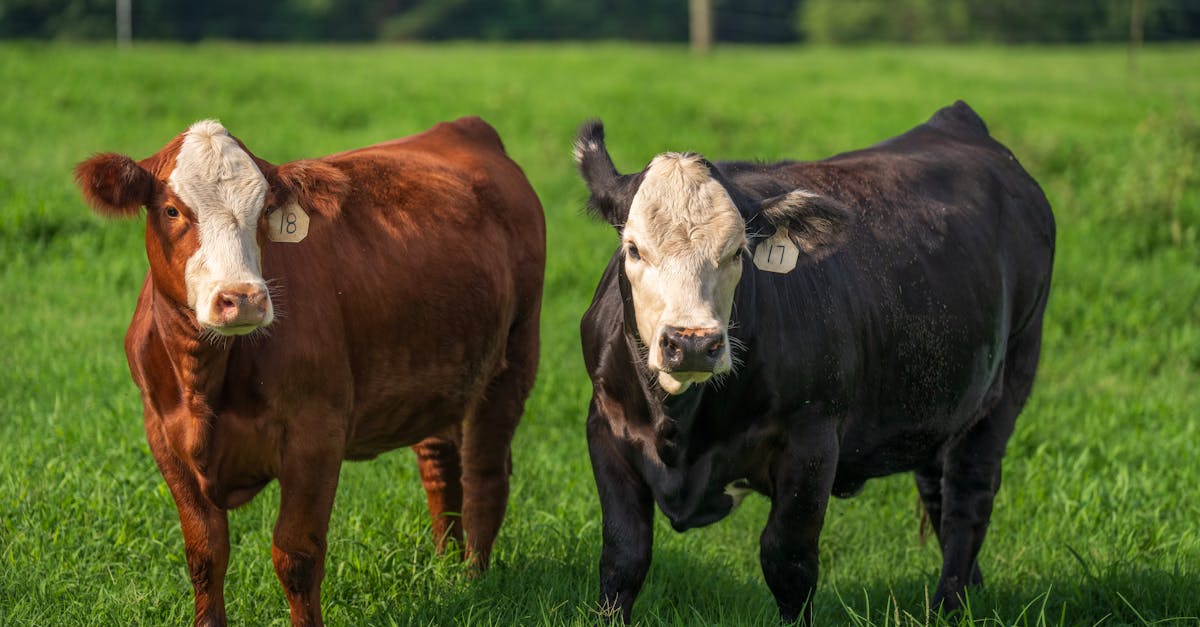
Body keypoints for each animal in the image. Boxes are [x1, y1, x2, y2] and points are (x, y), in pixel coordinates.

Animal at [75, 118, 544, 624]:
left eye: (265, 212)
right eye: (172, 210)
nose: (242, 298)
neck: (202, 378)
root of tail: (464, 128)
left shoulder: (316, 435)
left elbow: (296, 556)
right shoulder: (164, 437)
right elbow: (204, 554)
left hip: (514, 357)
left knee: (484, 472)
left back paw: (474, 577)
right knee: (439, 464)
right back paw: (444, 565)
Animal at [576, 102, 1056, 619]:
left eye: (737, 251)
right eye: (633, 249)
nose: (692, 343)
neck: (680, 425)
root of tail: (959, 121)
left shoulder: (812, 440)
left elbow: (787, 562)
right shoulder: (606, 427)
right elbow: (624, 553)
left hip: (1008, 383)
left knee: (969, 497)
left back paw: (948, 605)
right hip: (942, 399)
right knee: (938, 491)